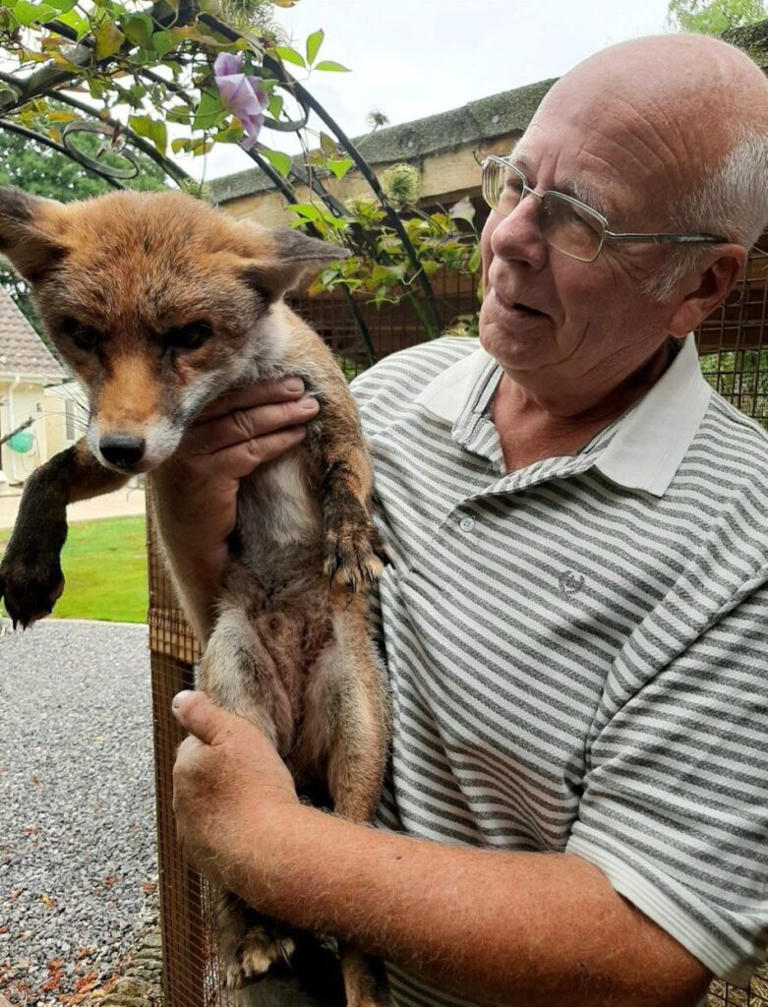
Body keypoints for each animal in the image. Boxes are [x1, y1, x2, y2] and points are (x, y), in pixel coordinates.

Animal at [0, 187, 391, 1007]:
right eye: (82, 336)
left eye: (190, 336)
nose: (124, 449)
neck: (240, 384)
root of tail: (296, 756)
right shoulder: (147, 443)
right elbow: (53, 469)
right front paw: (26, 566)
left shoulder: (324, 401)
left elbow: (348, 470)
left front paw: (350, 536)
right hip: (235, 692)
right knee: (246, 869)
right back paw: (249, 938)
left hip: (360, 741)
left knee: (353, 901)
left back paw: (359, 981)